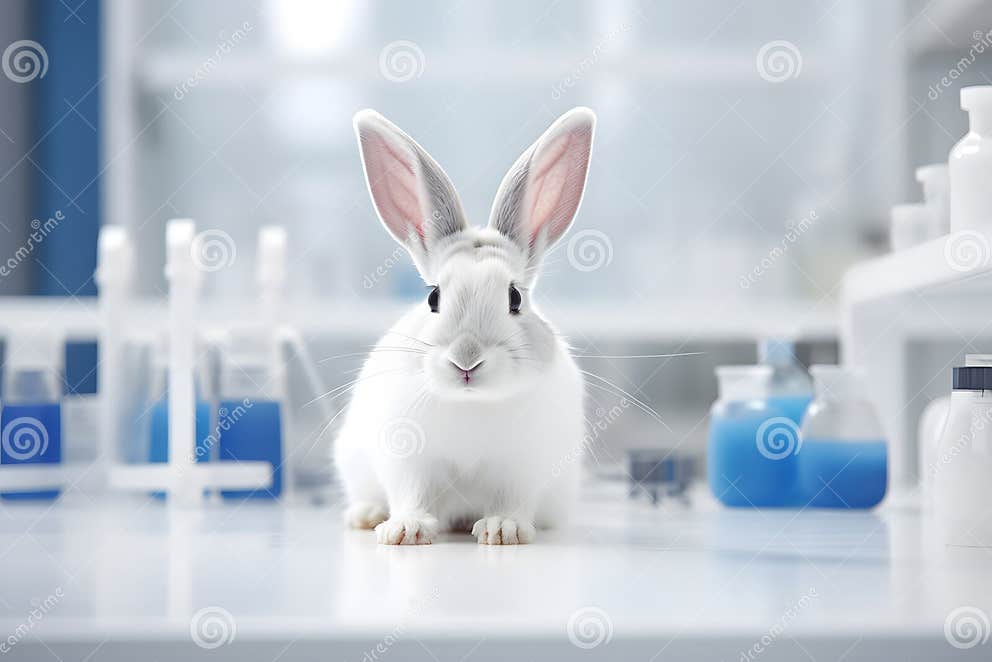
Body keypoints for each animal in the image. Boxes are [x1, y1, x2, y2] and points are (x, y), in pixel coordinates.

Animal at [333, 107, 596, 545]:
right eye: (433, 297)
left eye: (515, 298)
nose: (466, 360)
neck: (472, 404)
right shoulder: (408, 458)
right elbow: (412, 494)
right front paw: (405, 531)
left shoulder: (524, 466)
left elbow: (512, 499)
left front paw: (503, 530)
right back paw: (367, 516)